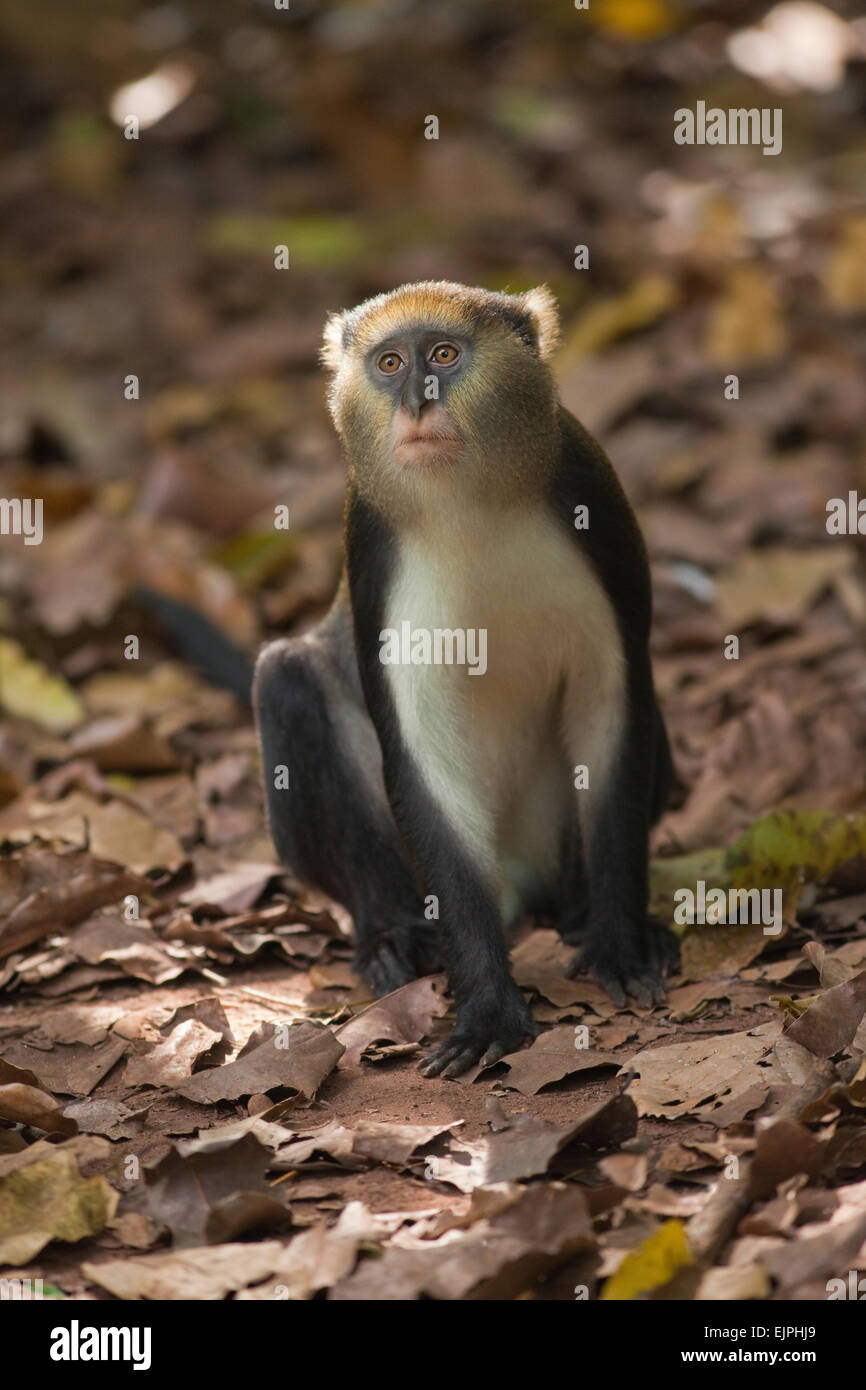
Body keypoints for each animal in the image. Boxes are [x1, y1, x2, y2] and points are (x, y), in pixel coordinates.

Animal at [253, 280, 679, 1077]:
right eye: (391, 363)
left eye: (445, 355)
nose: (417, 401)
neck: (472, 504)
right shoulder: (373, 541)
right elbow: (425, 764)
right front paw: (487, 1007)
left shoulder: (591, 492)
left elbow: (612, 709)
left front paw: (619, 944)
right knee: (286, 674)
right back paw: (392, 937)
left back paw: (583, 915)